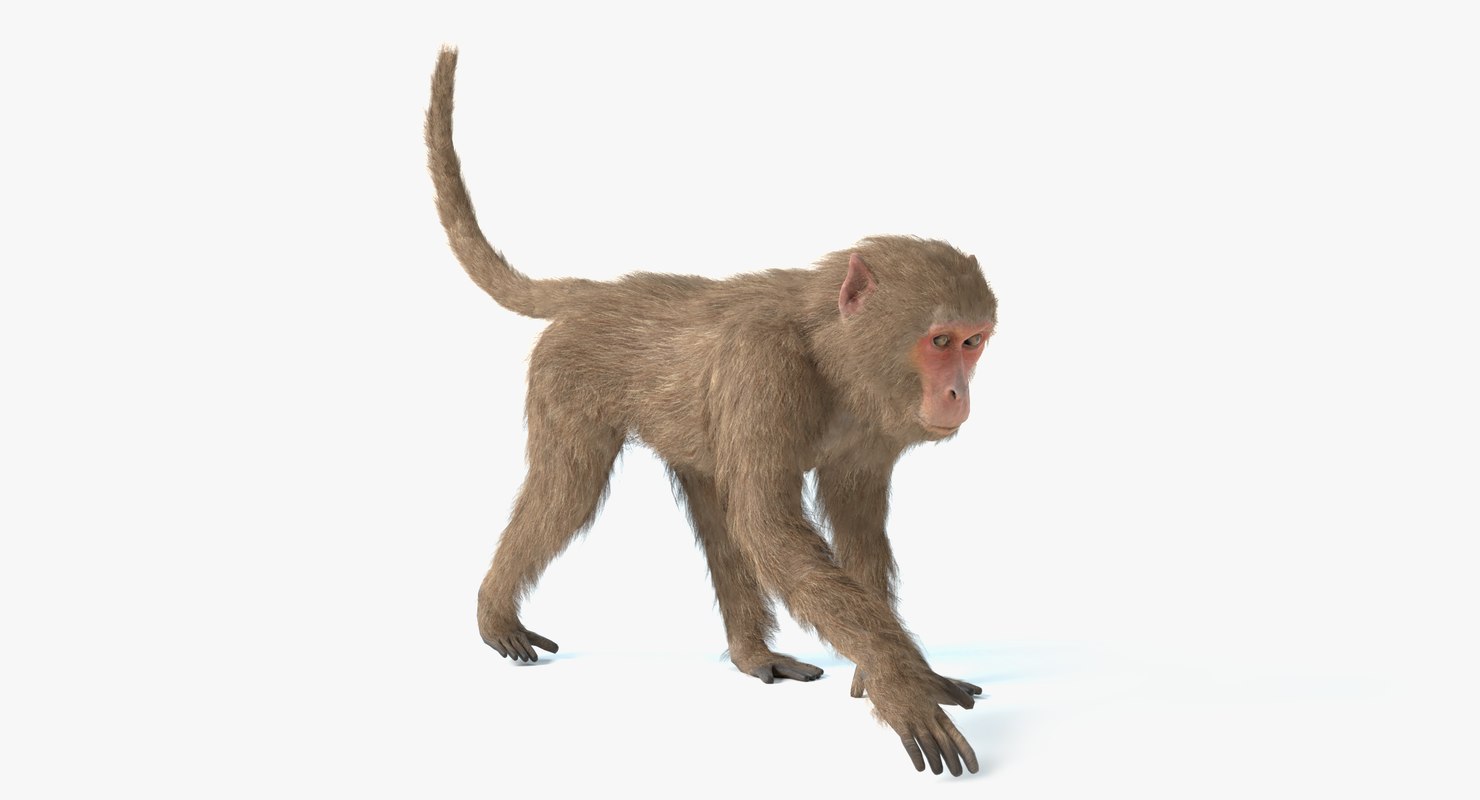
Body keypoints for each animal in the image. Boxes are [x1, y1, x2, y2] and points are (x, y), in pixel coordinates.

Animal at [427, 48, 997, 777]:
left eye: (973, 342)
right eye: (940, 342)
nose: (958, 393)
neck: (829, 350)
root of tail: (601, 294)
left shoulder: (873, 424)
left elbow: (852, 528)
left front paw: (889, 672)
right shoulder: (763, 369)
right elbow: (771, 530)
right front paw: (904, 683)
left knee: (711, 501)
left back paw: (753, 656)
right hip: (564, 372)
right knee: (568, 493)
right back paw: (495, 609)